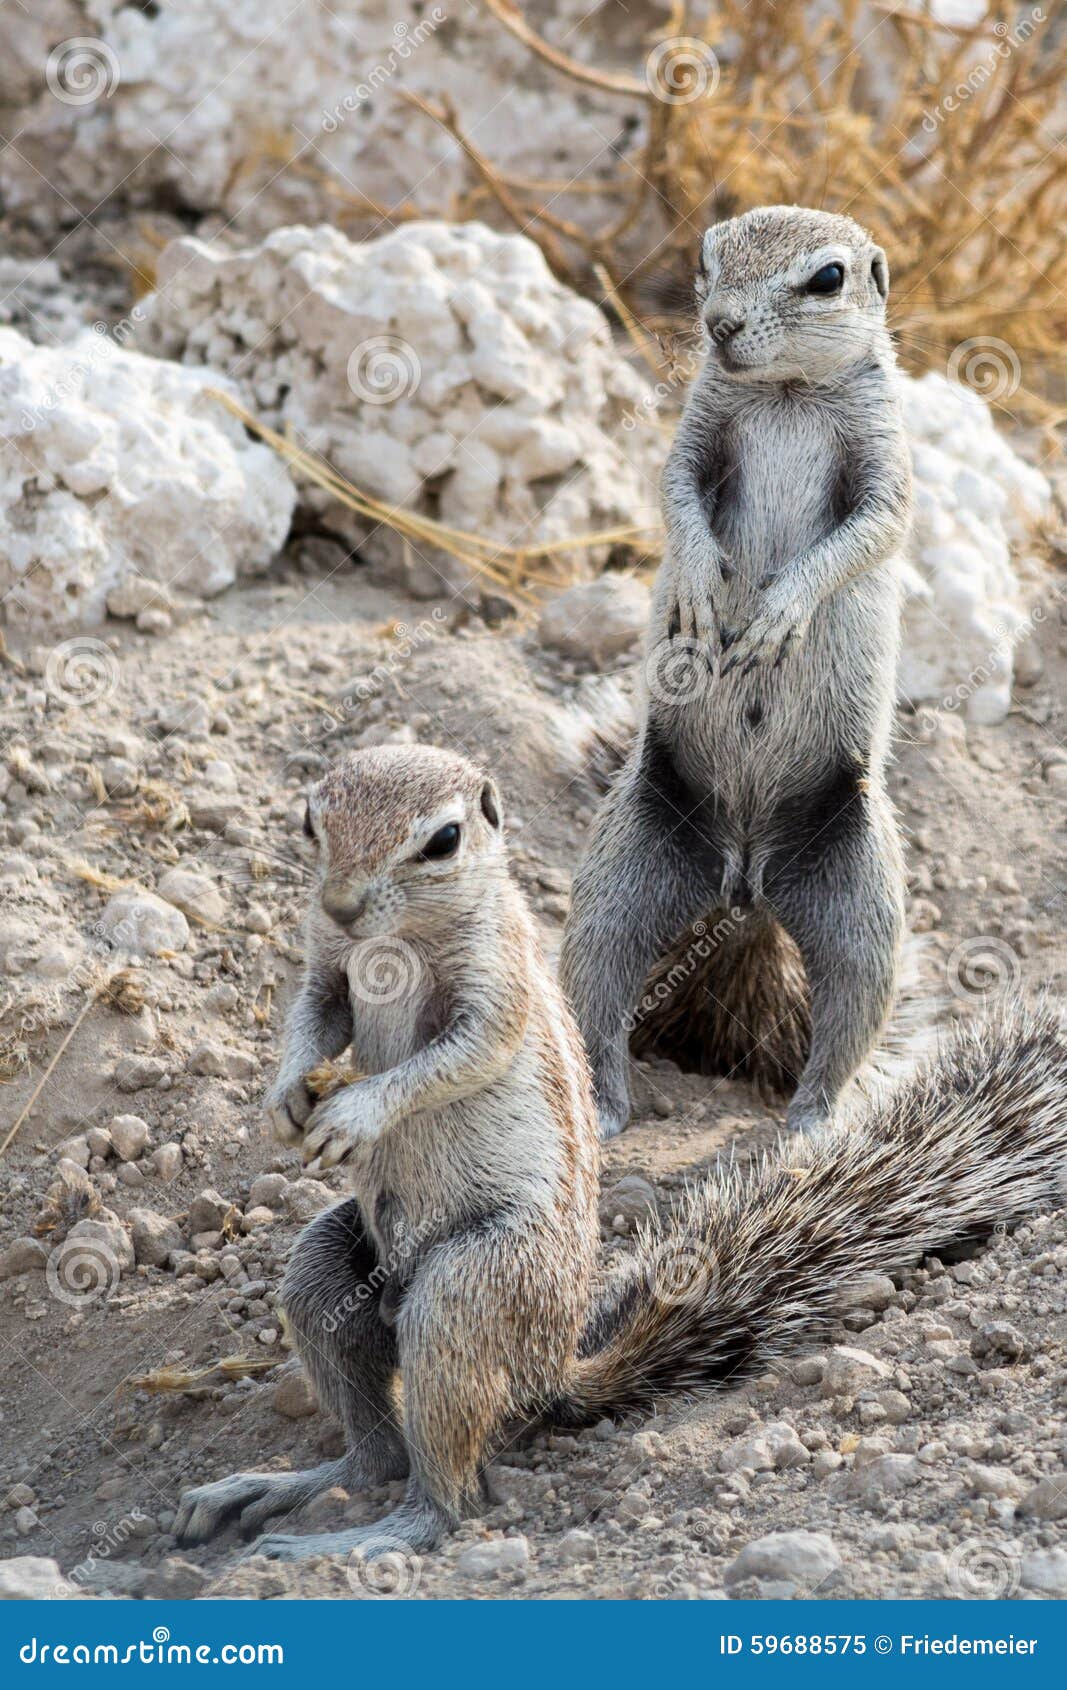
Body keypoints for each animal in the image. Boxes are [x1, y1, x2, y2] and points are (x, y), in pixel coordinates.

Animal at [175, 744, 1067, 1565]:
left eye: (443, 841)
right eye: (309, 822)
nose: (341, 904)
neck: (394, 941)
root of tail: (553, 1372)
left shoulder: (496, 988)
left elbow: (457, 1056)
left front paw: (356, 1110)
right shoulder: (327, 964)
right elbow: (314, 1012)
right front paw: (286, 1099)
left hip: (471, 1283)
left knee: (444, 1494)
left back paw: (360, 1537)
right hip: (330, 1265)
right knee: (371, 1444)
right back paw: (282, 1489)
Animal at [561, 204, 913, 1138]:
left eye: (825, 278)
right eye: (704, 255)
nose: (717, 325)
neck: (786, 394)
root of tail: (746, 878)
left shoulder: (886, 455)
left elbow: (872, 528)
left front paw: (780, 610)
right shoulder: (695, 428)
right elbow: (674, 492)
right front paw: (695, 582)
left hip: (861, 896)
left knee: (848, 1016)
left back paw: (812, 1122)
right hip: (621, 868)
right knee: (596, 987)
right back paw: (603, 1107)